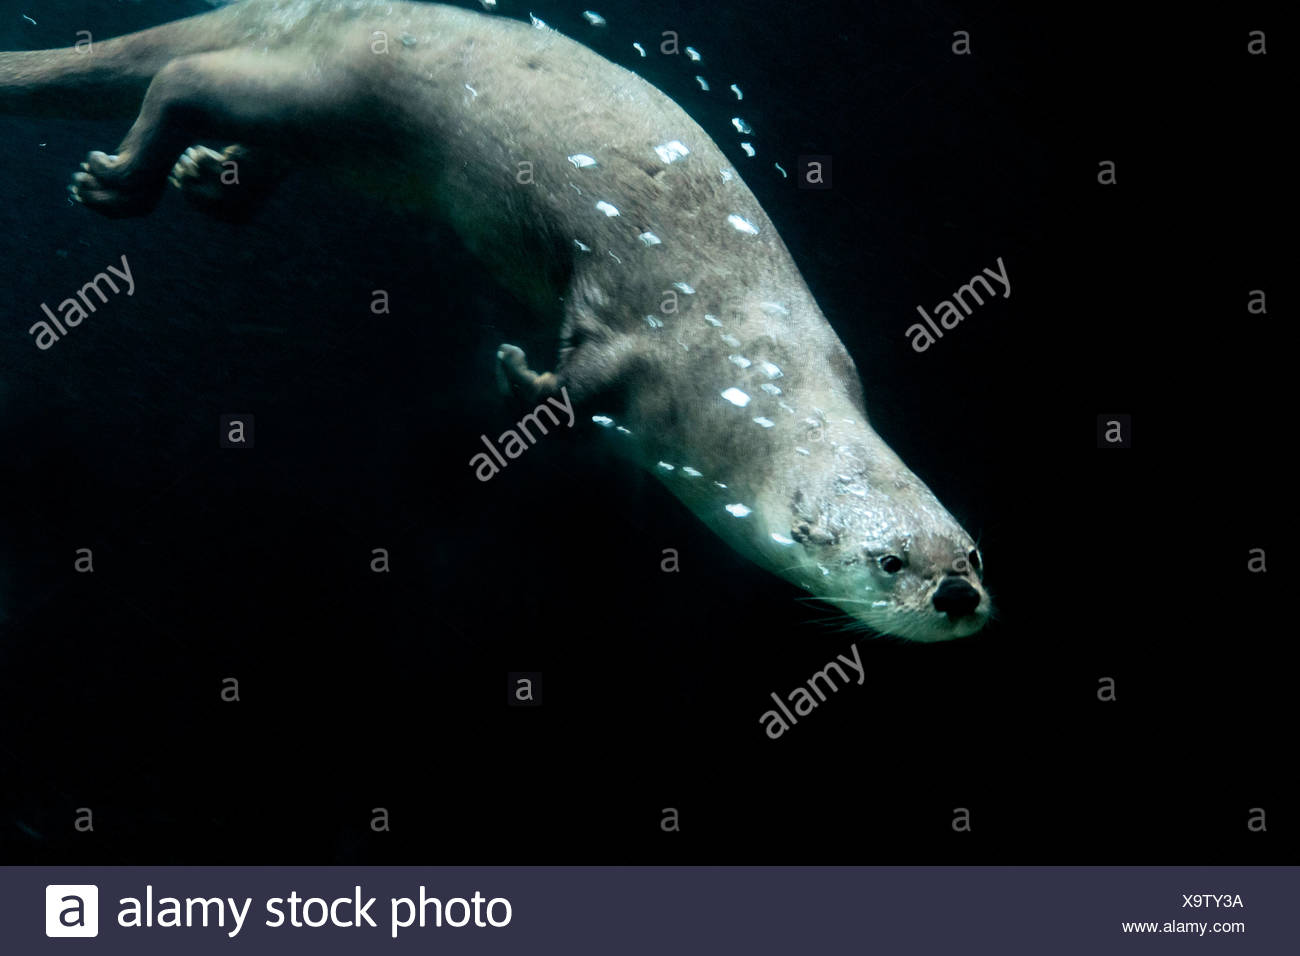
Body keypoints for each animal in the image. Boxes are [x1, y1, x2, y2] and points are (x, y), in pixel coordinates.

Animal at [0, 0, 991, 641]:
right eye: (890, 562)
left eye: (971, 553)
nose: (955, 597)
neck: (752, 373)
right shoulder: (651, 345)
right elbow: (573, 384)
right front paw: (517, 376)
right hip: (338, 80)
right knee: (185, 73)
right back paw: (118, 180)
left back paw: (208, 178)